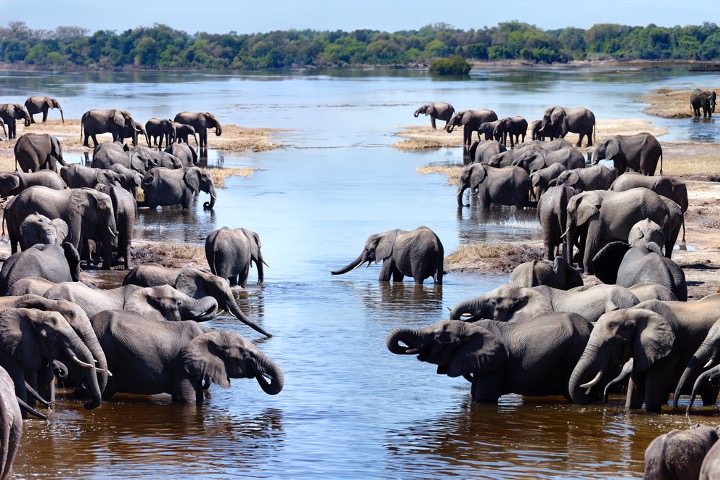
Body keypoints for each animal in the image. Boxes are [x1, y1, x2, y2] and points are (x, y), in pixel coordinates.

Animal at [568, 295, 720, 412]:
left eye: (614, 344)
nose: (588, 391)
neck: (631, 312)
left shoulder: (670, 349)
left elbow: (653, 387)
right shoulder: (642, 348)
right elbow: (635, 387)